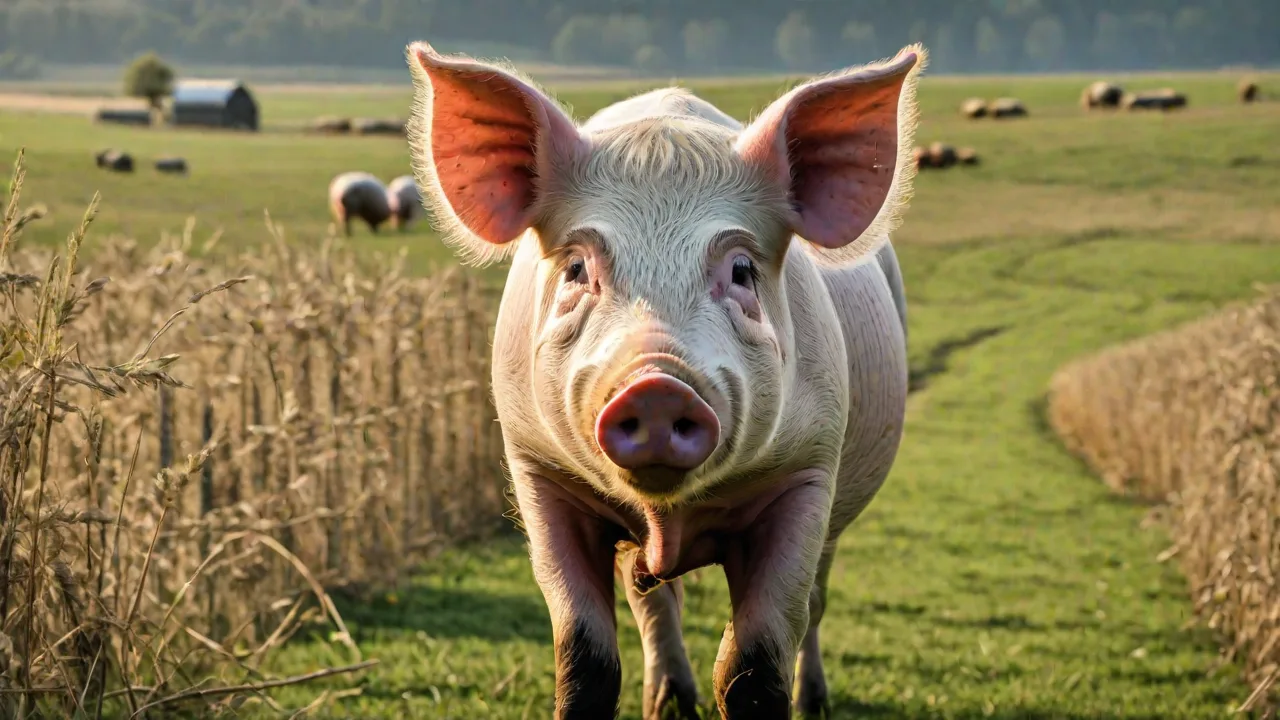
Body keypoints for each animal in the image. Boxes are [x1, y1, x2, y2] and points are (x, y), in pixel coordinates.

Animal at [406, 39, 922, 720]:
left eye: (741, 270)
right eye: (577, 269)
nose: (656, 384)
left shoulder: (807, 470)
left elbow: (752, 664)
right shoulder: (539, 472)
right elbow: (584, 658)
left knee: (814, 602)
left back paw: (813, 701)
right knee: (652, 600)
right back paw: (670, 702)